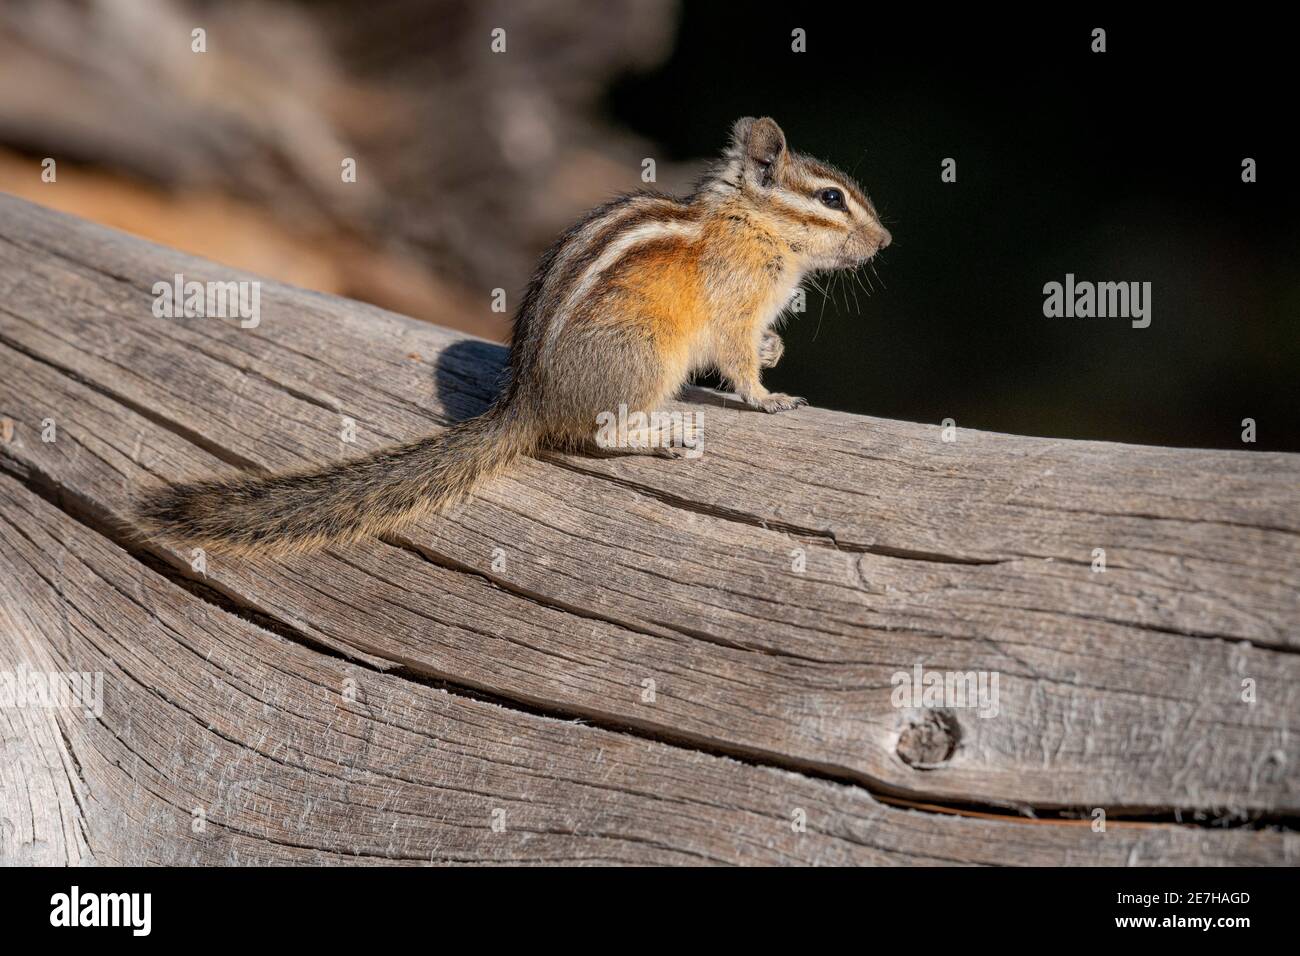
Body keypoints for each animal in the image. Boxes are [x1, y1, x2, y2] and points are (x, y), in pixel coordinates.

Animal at [134, 117, 891, 555]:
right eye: (831, 199)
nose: (886, 241)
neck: (750, 222)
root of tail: (529, 402)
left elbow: (750, 350)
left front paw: (776, 350)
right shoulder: (734, 303)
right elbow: (735, 360)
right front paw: (768, 395)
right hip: (643, 357)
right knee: (602, 434)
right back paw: (664, 431)